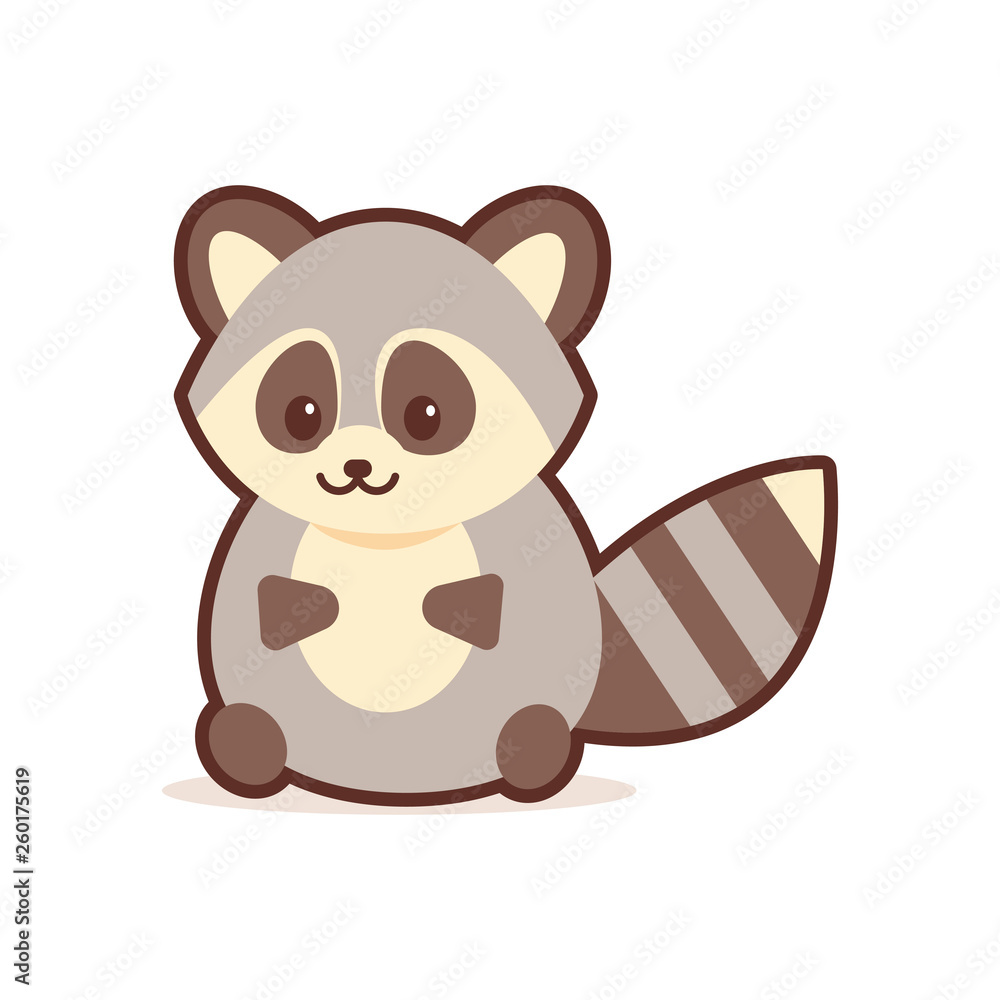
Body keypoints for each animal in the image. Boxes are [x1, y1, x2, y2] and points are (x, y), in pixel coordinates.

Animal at [174, 185, 837, 805]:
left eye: (427, 413)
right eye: (300, 412)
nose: (357, 465)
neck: (389, 544)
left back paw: (532, 744)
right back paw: (248, 739)